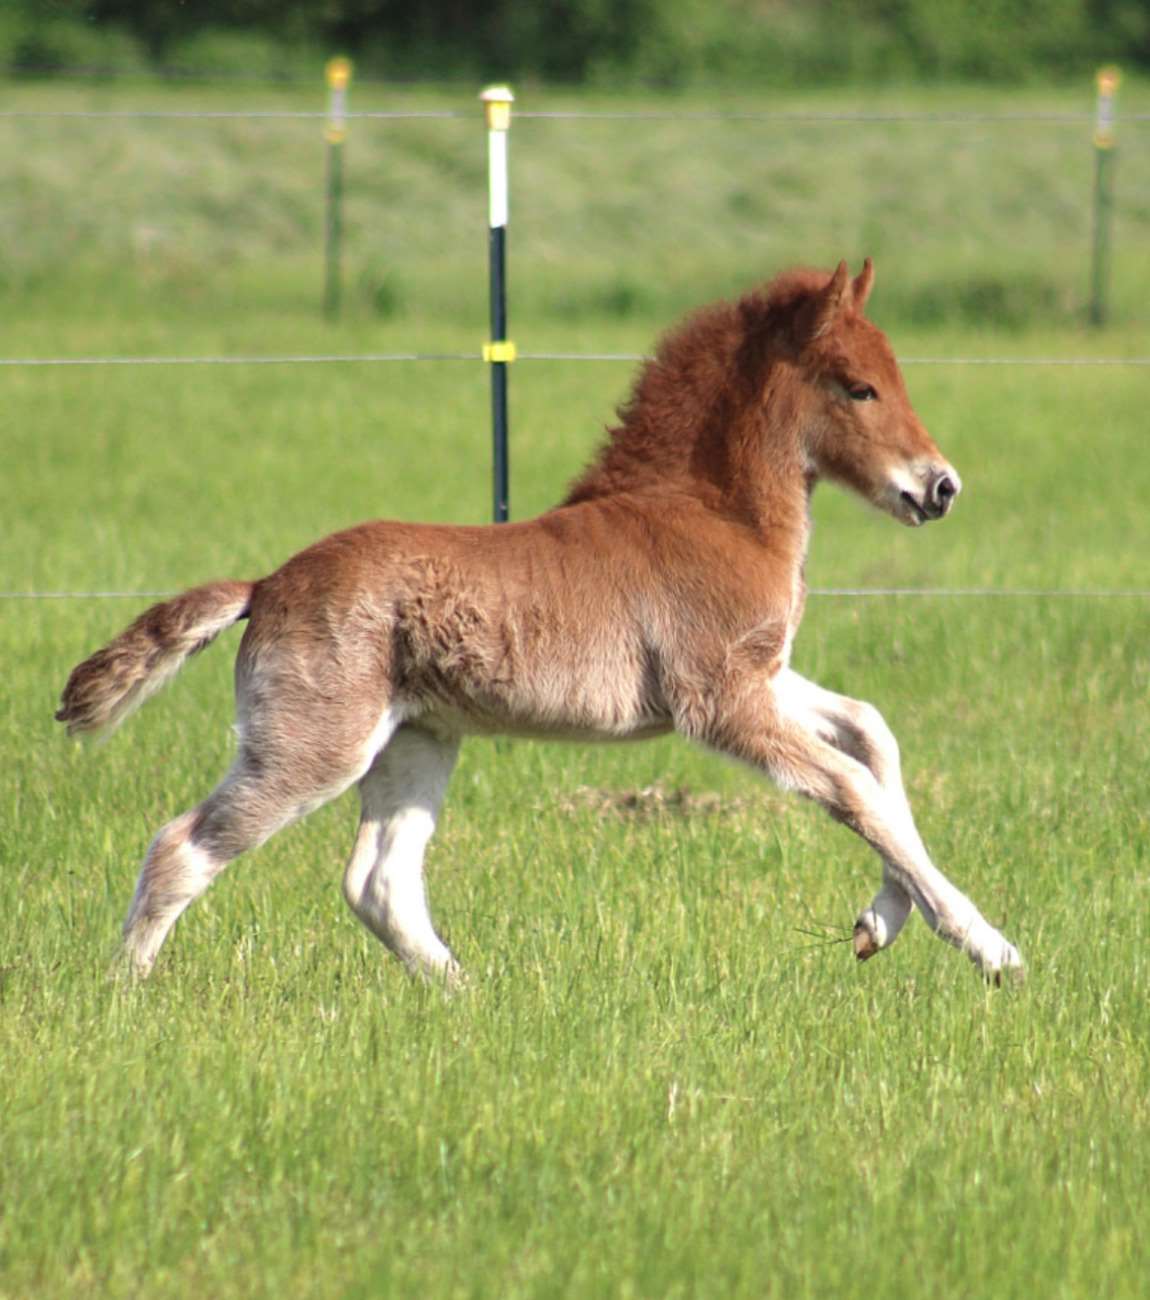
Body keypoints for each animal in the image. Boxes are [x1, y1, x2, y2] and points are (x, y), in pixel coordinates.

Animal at [56, 260, 1023, 984]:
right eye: (859, 389)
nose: (940, 486)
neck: (711, 512)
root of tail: (267, 582)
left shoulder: (761, 676)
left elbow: (872, 733)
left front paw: (878, 923)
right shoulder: (720, 702)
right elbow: (852, 786)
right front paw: (989, 947)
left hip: (415, 741)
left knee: (379, 883)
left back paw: (470, 998)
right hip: (314, 745)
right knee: (183, 846)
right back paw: (124, 995)